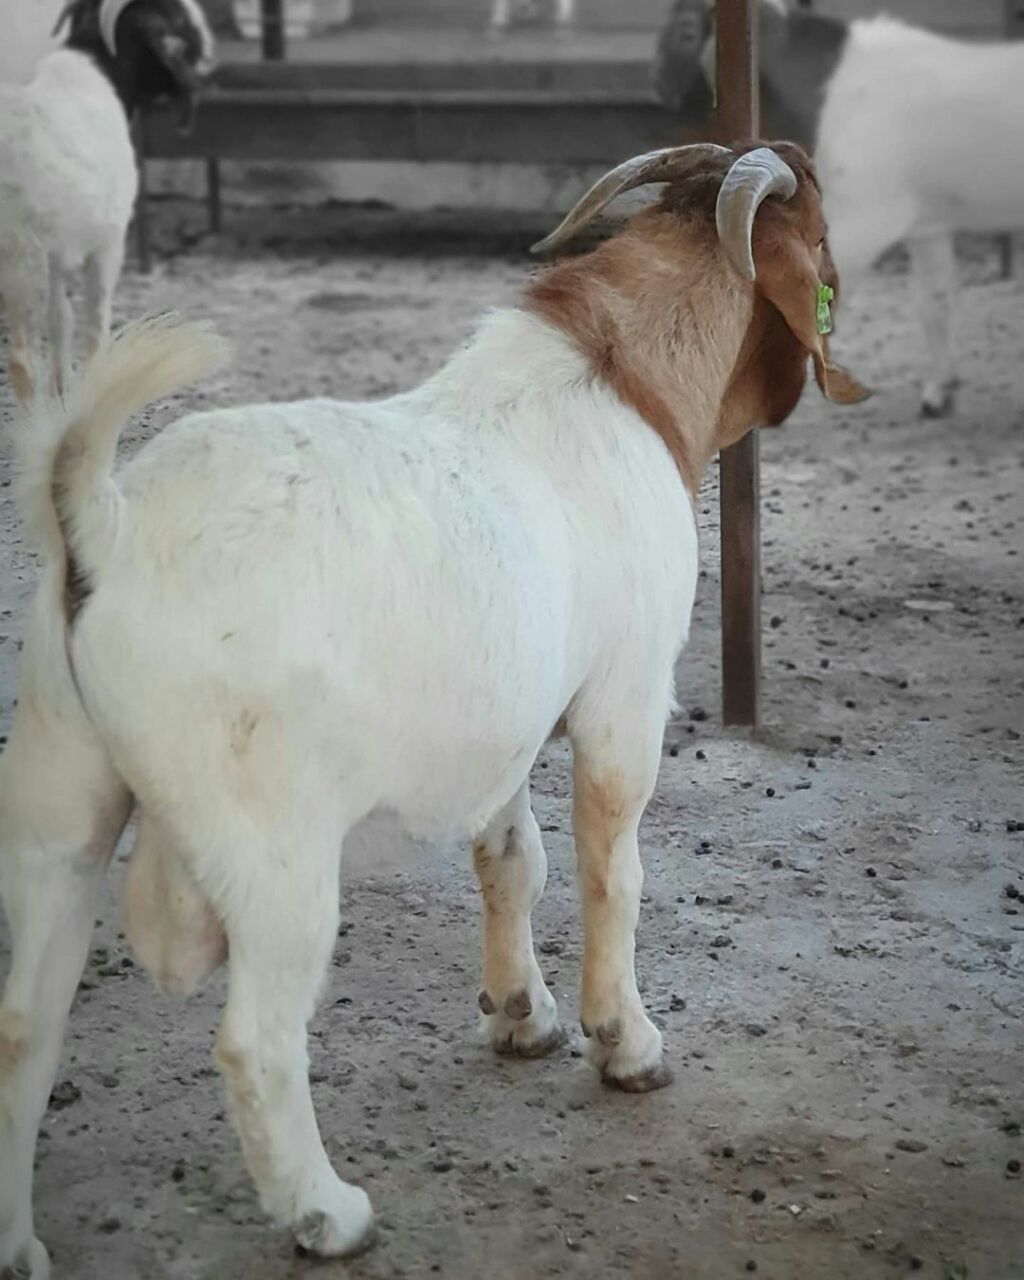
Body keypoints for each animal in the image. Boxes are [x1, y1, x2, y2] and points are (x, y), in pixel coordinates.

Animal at [0, 0, 215, 406]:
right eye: (178, 22)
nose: (211, 56)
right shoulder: (107, 242)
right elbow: (95, 326)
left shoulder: (58, 254)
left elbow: (61, 319)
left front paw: (64, 392)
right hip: (21, 258)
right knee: (22, 360)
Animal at [0, 140, 867, 1273]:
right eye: (825, 240)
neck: (618, 379)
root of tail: (103, 524)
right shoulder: (624, 697)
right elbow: (613, 870)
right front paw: (625, 1043)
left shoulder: (505, 728)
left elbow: (510, 858)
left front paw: (521, 1016)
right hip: (269, 844)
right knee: (255, 1036)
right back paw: (327, 1213)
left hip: (59, 794)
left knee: (23, 1023)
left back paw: (19, 1245)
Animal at [654, 0, 1024, 417]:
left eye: (687, 31)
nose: (661, 87)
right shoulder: (926, 224)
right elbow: (934, 302)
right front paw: (939, 393)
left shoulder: (870, 217)